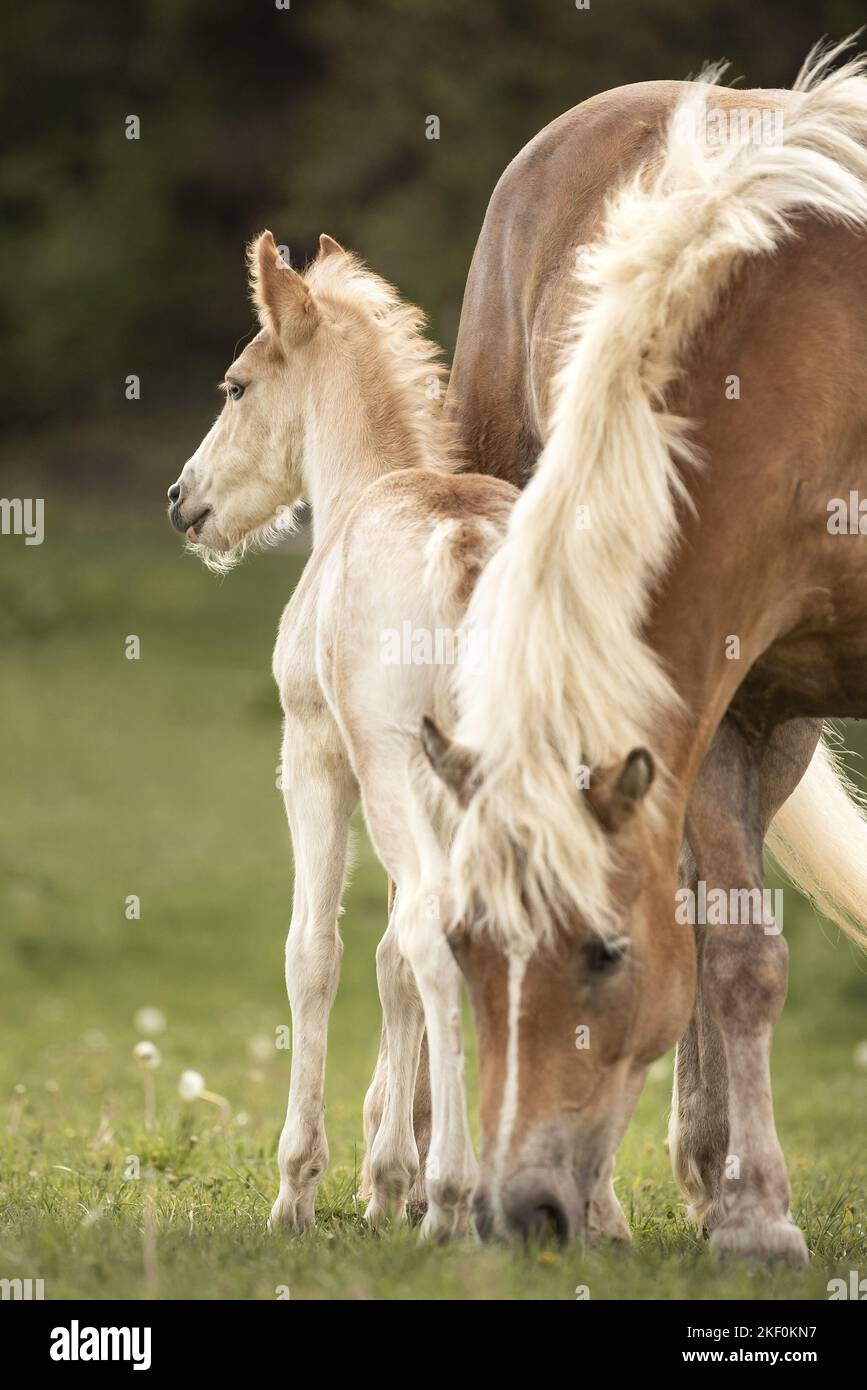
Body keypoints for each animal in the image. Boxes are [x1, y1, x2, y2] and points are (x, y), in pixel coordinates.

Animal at [167, 230, 519, 1237]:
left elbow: (317, 954)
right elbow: (388, 957)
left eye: (235, 386)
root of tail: (463, 547)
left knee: (442, 930)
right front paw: (385, 1181)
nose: (180, 498)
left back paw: (453, 1199)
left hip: (400, 770)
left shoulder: (318, 757)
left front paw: (303, 1188)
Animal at [421, 40, 867, 1259]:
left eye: (603, 952)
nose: (519, 1212)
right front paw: (754, 1217)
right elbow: (740, 959)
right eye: (465, 945)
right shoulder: (725, 709)